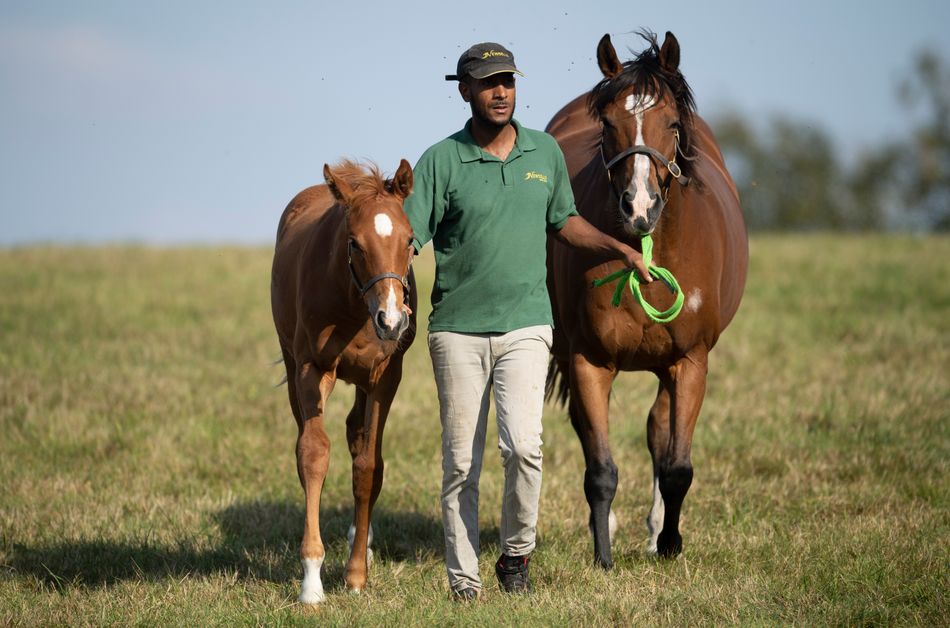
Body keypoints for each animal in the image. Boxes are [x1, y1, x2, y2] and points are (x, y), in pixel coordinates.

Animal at [270, 159, 417, 603]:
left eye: (410, 240)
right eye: (354, 243)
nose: (392, 321)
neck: (355, 306)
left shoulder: (386, 377)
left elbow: (369, 466)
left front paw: (355, 575)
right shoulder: (312, 369)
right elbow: (313, 454)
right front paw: (312, 581)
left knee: (356, 434)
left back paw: (361, 541)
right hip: (292, 364)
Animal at [545, 31, 748, 568]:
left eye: (672, 123)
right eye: (608, 124)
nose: (639, 207)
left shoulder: (690, 361)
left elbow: (677, 465)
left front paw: (670, 543)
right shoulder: (589, 360)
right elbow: (601, 469)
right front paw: (603, 553)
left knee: (659, 429)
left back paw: (658, 530)